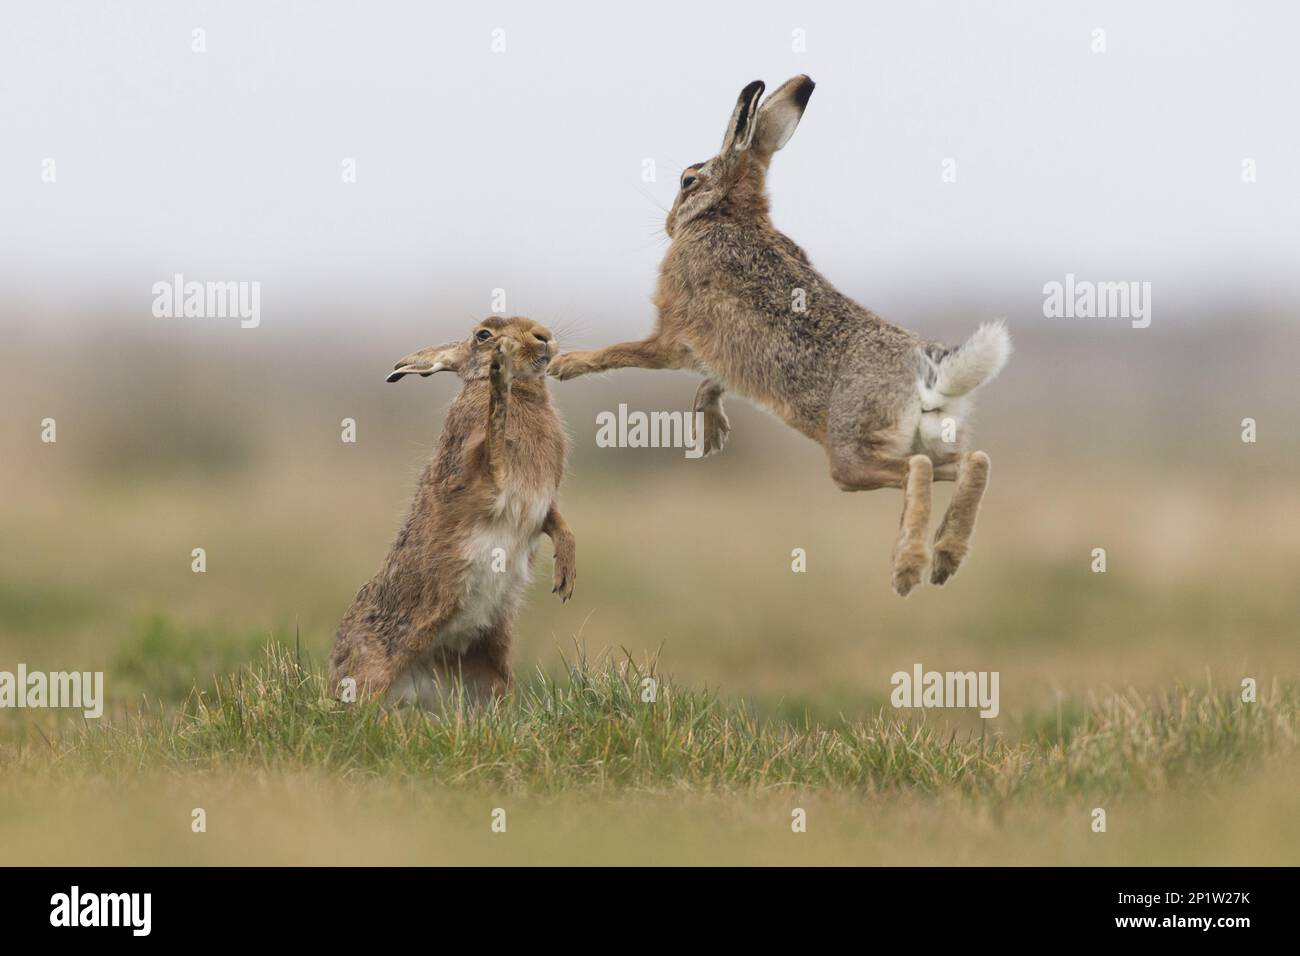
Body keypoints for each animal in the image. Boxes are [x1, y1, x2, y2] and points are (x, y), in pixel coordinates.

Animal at [329, 316, 575, 707]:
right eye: (484, 335)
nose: (544, 337)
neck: (527, 393)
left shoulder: (544, 503)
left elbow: (558, 522)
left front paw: (566, 574)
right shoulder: (476, 478)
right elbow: (491, 444)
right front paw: (499, 384)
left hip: (489, 668)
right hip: (378, 665)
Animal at [549, 76, 1010, 596]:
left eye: (688, 181)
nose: (668, 223)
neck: (730, 213)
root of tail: (933, 375)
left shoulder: (671, 333)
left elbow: (626, 351)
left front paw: (566, 364)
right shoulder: (717, 347)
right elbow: (713, 377)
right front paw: (711, 427)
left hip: (851, 454)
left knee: (920, 469)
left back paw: (908, 565)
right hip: (924, 440)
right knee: (974, 461)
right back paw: (945, 557)